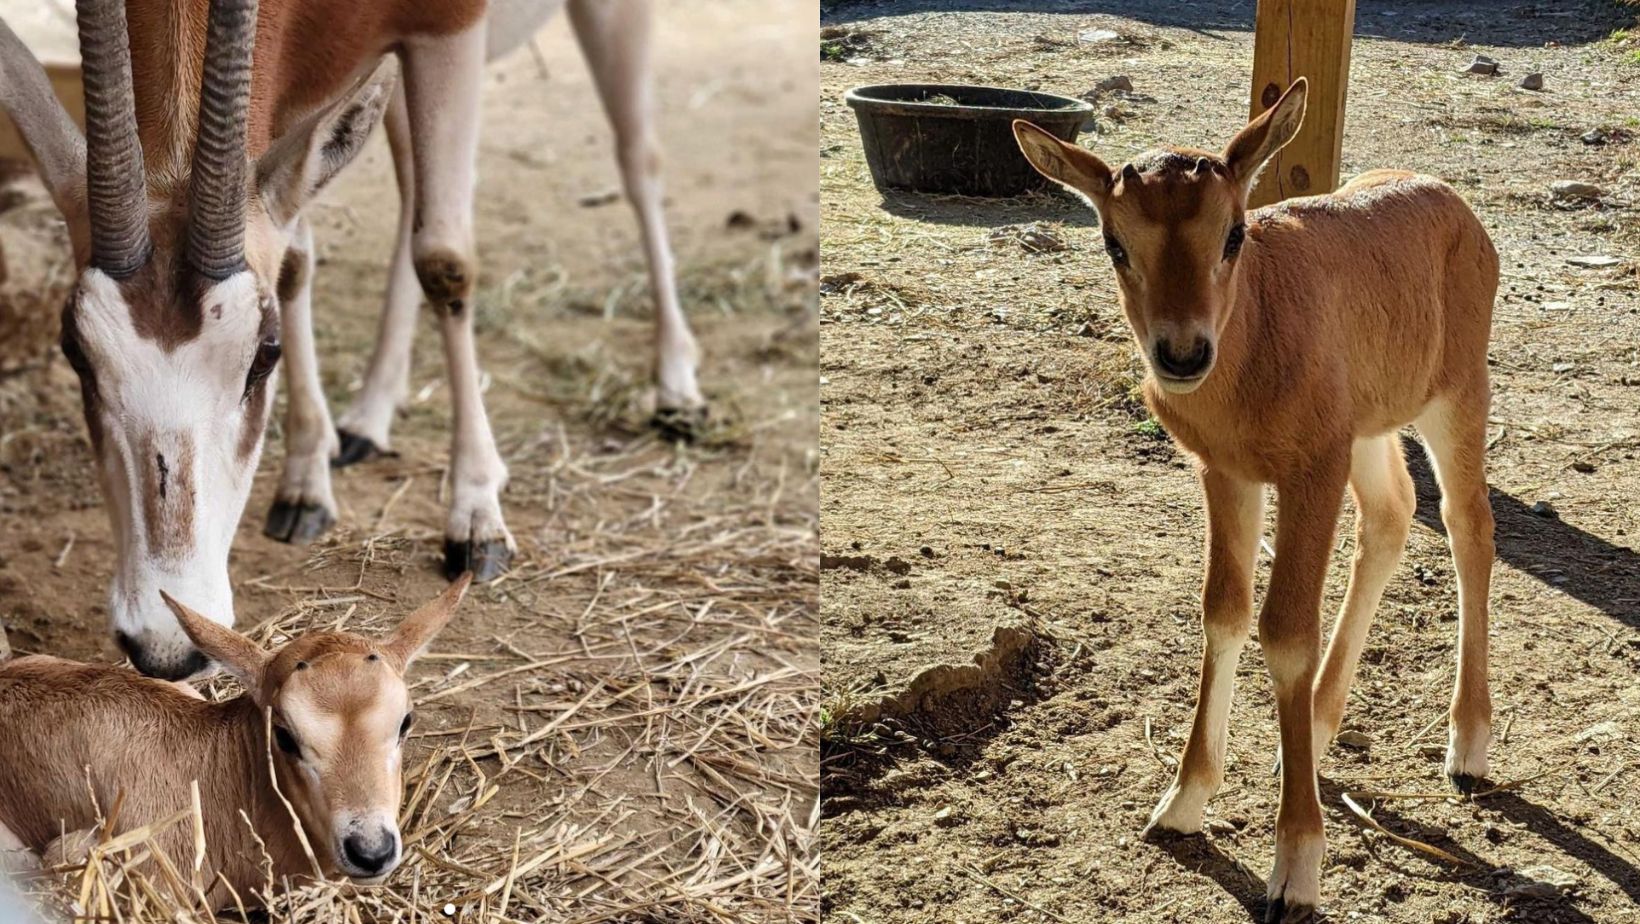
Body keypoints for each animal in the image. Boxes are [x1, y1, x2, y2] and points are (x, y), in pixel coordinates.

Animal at [0, 0, 700, 680]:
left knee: (638, 160)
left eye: (264, 354)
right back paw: (368, 416)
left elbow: (445, 259)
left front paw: (476, 517)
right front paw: (307, 482)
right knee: (413, 194)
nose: (167, 646)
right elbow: (298, 262)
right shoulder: (301, 77)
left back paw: (676, 387)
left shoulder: (448, 29)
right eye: (75, 352)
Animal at [1014, 79, 1498, 922]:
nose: (1182, 353)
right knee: (1392, 514)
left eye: (1234, 231)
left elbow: (1286, 630)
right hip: (1368, 427)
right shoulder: (1228, 470)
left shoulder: (1309, 469)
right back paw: (1317, 730)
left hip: (1457, 391)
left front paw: (1295, 869)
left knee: (1468, 524)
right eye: (1114, 242)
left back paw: (1466, 746)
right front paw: (1180, 802)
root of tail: (1460, 213)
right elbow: (1225, 610)